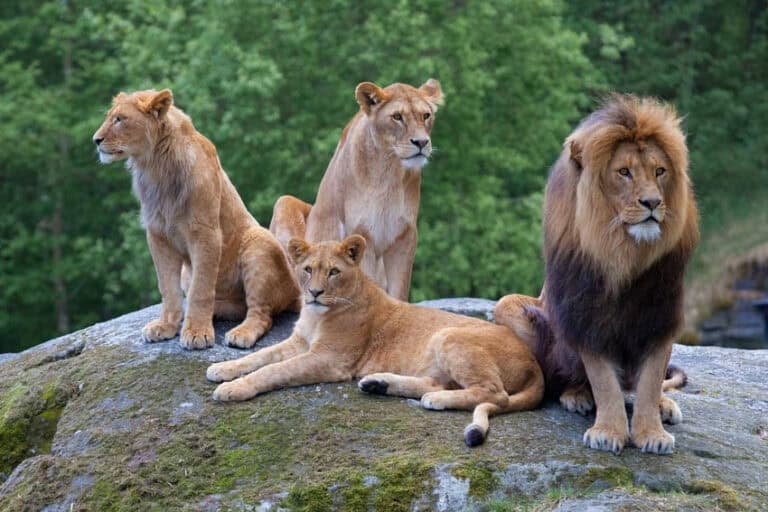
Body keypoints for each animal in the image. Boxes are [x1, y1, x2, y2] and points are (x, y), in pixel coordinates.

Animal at [93, 89, 300, 350]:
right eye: (109, 117)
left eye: (120, 119)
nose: (95, 140)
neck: (155, 167)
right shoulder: (158, 235)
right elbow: (168, 288)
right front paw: (166, 325)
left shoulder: (206, 233)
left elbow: (201, 288)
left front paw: (197, 333)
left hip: (258, 240)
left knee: (262, 314)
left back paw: (240, 333)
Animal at [206, 235, 544, 446]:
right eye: (307, 270)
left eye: (333, 272)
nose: (314, 292)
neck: (317, 315)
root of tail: (533, 362)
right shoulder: (299, 342)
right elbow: (260, 357)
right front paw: (223, 368)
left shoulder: (329, 359)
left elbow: (273, 371)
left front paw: (234, 388)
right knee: (438, 383)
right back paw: (378, 383)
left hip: (449, 336)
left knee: (495, 394)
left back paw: (434, 400)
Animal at [269, 79, 444, 301]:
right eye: (397, 117)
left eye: (426, 115)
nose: (421, 142)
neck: (390, 171)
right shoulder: (363, 232)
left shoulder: (404, 234)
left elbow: (399, 290)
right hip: (284, 202)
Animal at [494, 94, 699, 455]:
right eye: (624, 172)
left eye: (660, 171)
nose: (652, 202)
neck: (625, 253)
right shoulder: (585, 313)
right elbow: (603, 381)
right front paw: (608, 432)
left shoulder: (661, 315)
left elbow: (650, 381)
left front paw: (652, 433)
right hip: (509, 308)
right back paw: (576, 396)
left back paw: (665, 405)